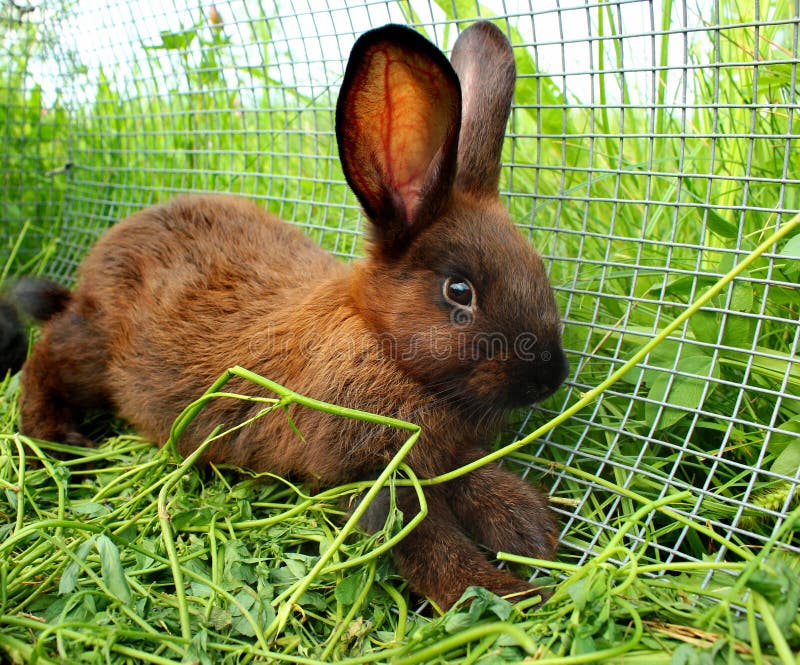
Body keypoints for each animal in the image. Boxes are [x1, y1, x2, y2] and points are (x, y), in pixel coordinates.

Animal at [19, 21, 569, 610]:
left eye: (538, 267)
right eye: (459, 290)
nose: (550, 378)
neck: (384, 344)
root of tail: (99, 255)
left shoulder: (447, 456)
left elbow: (477, 483)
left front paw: (531, 530)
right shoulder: (372, 474)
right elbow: (428, 542)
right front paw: (501, 595)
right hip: (91, 351)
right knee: (42, 357)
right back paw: (57, 438)